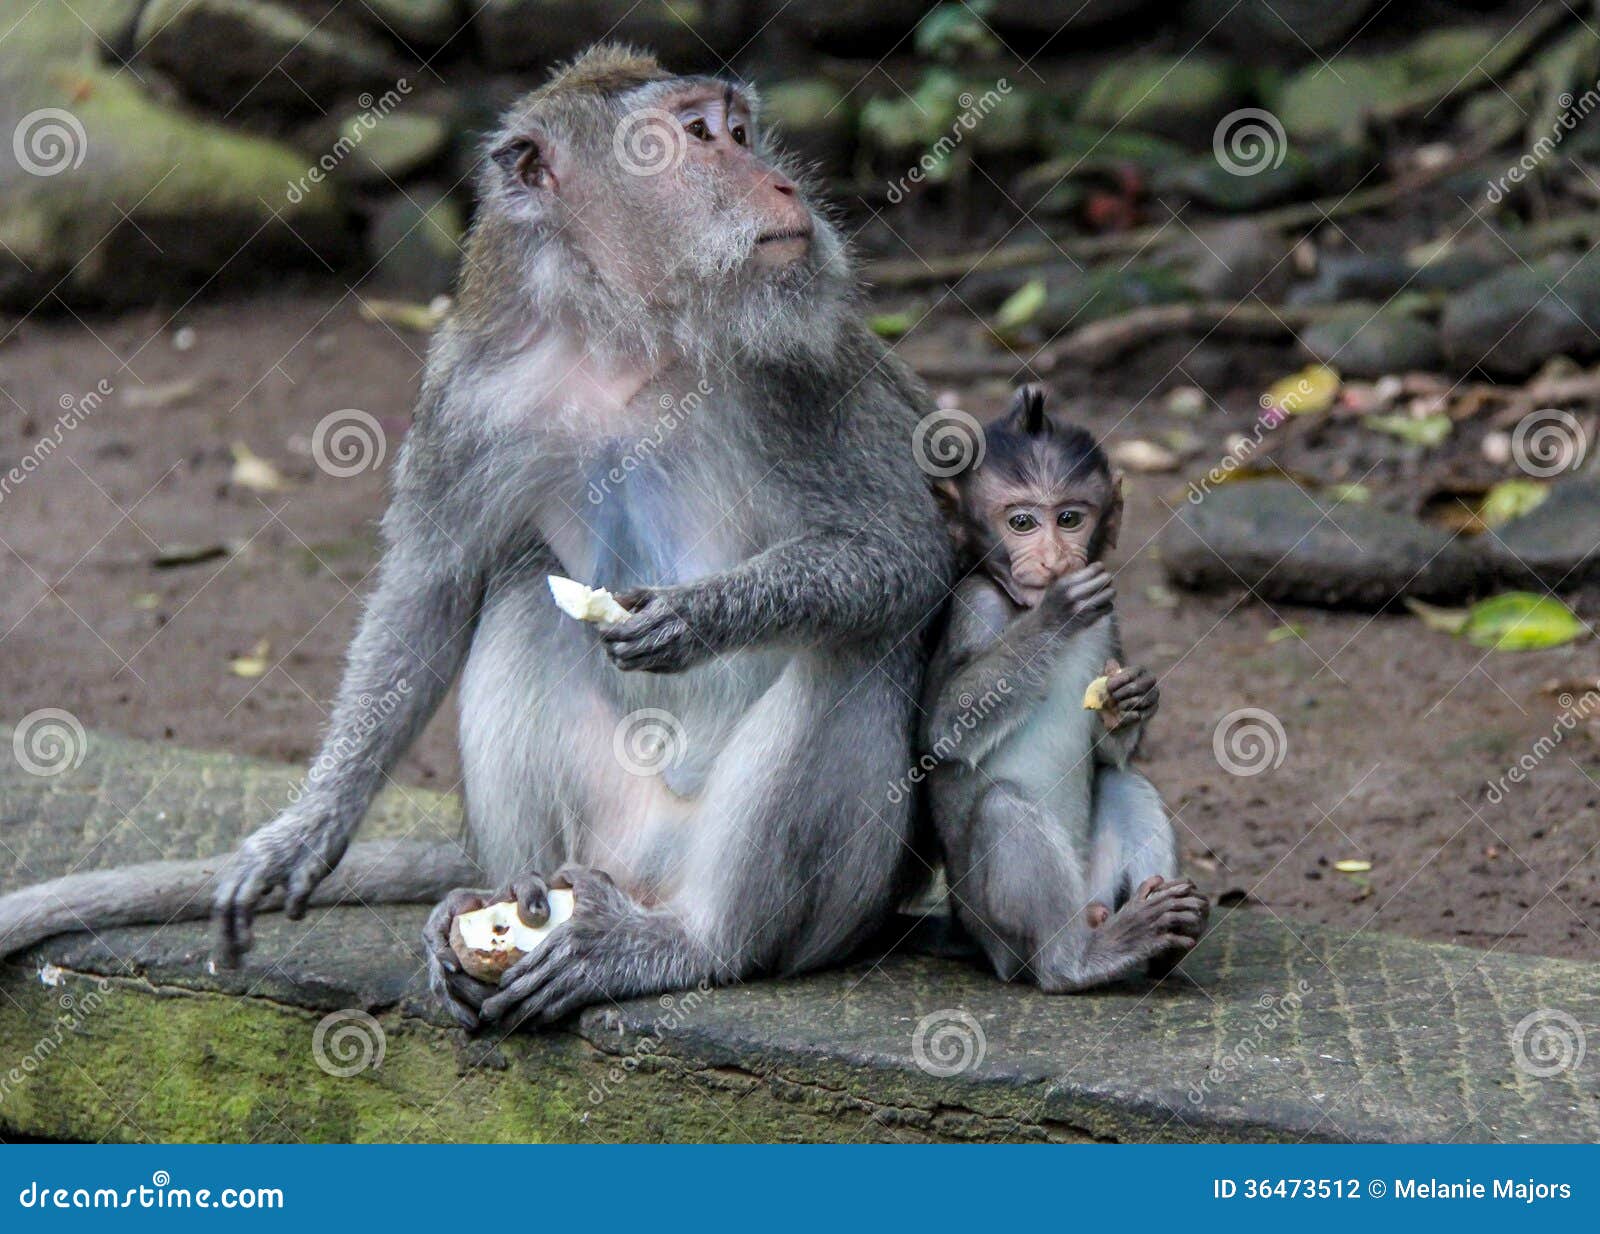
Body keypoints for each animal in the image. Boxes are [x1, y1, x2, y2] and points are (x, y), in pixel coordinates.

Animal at [0, 45, 953, 1031]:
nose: (781, 183)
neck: (627, 335)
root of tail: (642, 876)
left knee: (853, 646)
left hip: (828, 898)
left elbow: (903, 553)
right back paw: (515, 896)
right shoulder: (468, 391)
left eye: (741, 131)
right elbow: (432, 589)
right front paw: (308, 827)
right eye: (700, 135)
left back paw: (692, 942)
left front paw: (704, 615)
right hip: (603, 826)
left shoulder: (809, 363)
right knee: (524, 590)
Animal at [920, 386, 1207, 992]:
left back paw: (1170, 942)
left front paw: (1132, 701)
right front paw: (1057, 614)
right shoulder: (973, 608)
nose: (1054, 560)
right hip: (1001, 937)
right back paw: (1079, 960)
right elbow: (942, 731)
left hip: (1094, 887)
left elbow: (1110, 755)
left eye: (1070, 518)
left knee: (1125, 782)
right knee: (1003, 807)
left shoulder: (1110, 622)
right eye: (1023, 522)